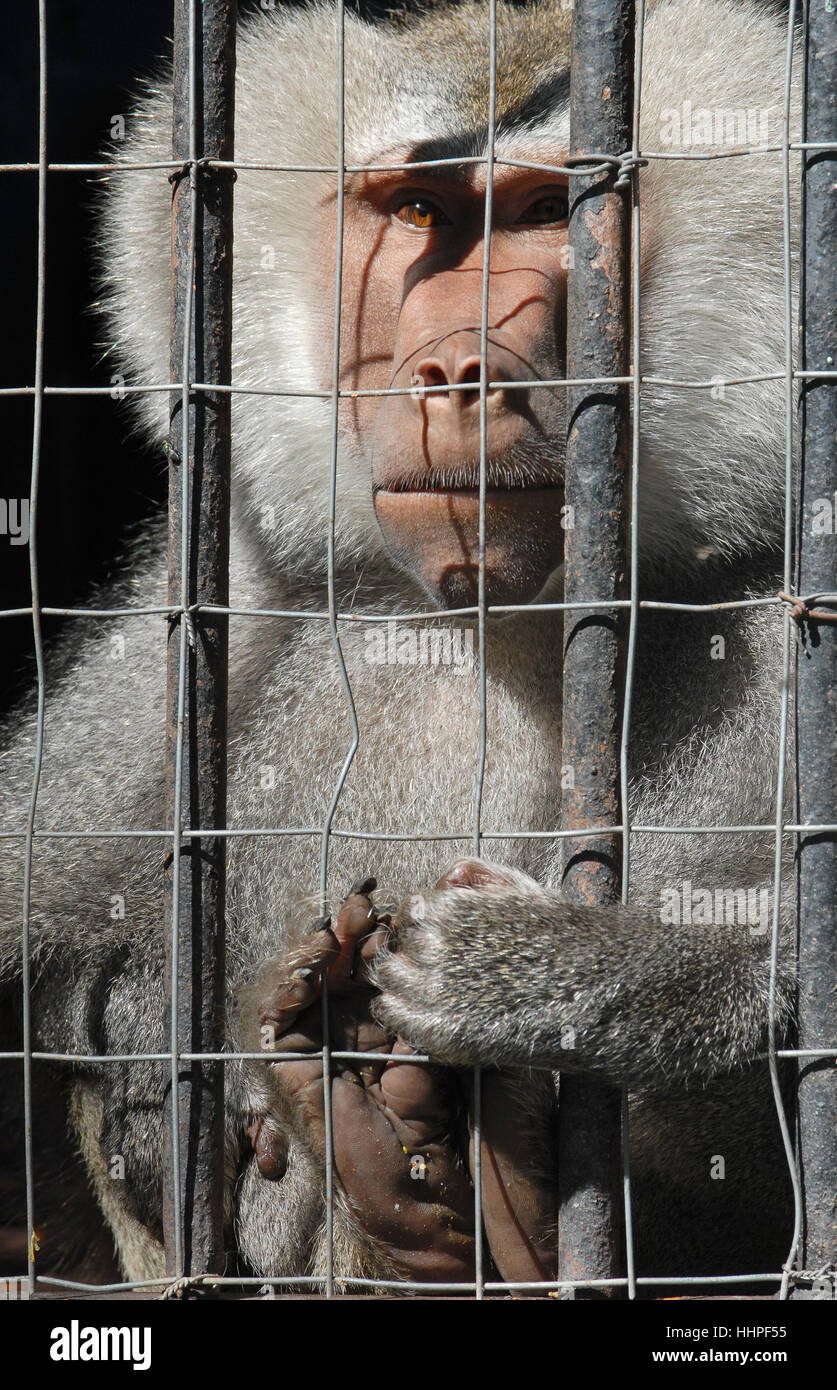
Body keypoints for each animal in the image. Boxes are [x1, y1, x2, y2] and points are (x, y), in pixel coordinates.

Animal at [0, 0, 808, 1291]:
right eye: (421, 216)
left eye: (545, 215)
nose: (452, 374)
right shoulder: (222, 596)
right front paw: (153, 1028)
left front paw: (569, 978)